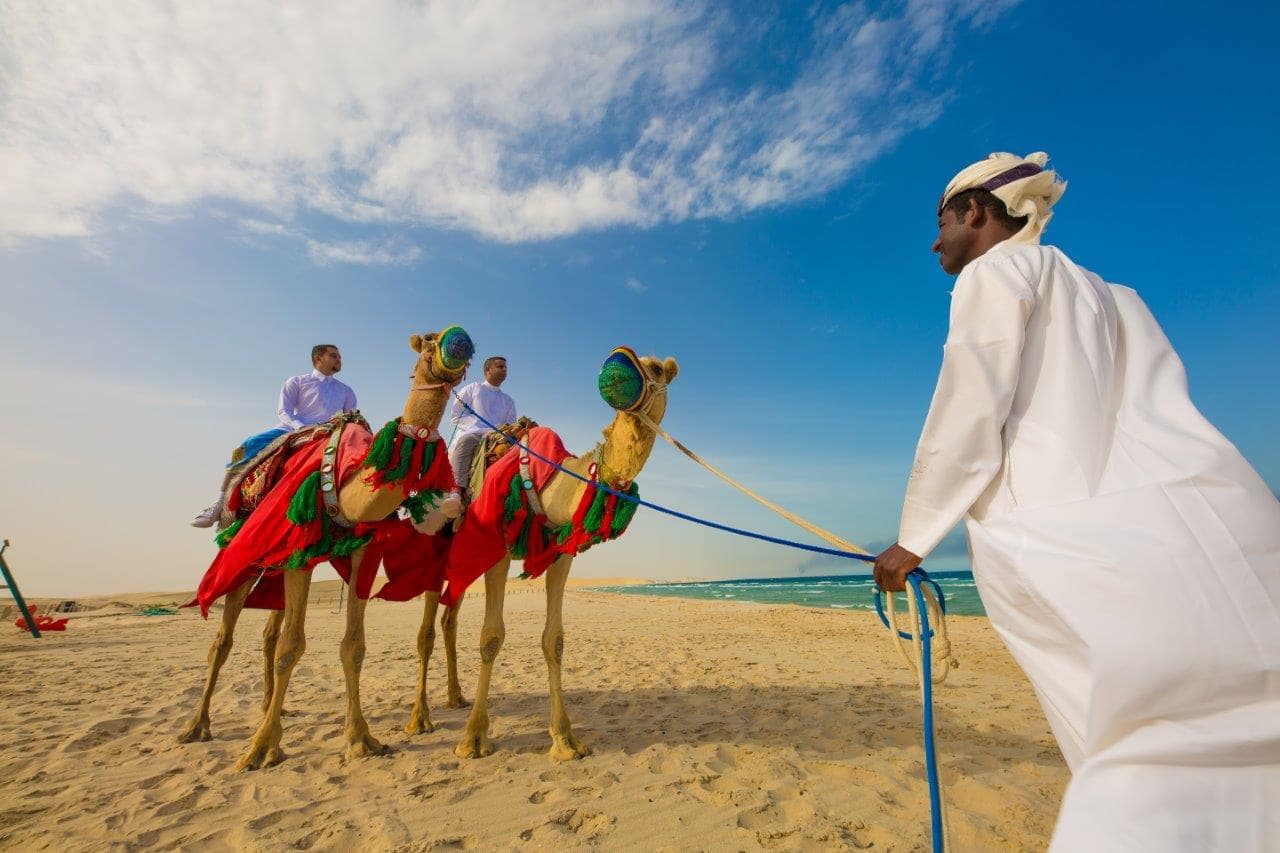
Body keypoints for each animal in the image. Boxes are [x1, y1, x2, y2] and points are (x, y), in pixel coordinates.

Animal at [178, 326, 473, 770]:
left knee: (269, 632)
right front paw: (262, 747)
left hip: (277, 565)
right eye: (429, 339)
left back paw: (274, 706)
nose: (461, 343)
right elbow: (292, 647)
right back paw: (198, 725)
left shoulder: (361, 553)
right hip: (246, 551)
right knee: (224, 641)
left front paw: (360, 738)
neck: (347, 482)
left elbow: (353, 646)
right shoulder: (300, 552)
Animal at [429, 347, 679, 762]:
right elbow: (491, 637)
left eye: (658, 369)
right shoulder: (497, 549)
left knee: (449, 620)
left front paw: (565, 739)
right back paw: (418, 720)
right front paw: (474, 739)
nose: (618, 372)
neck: (544, 483)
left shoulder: (561, 556)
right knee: (427, 629)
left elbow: (554, 640)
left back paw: (455, 697)